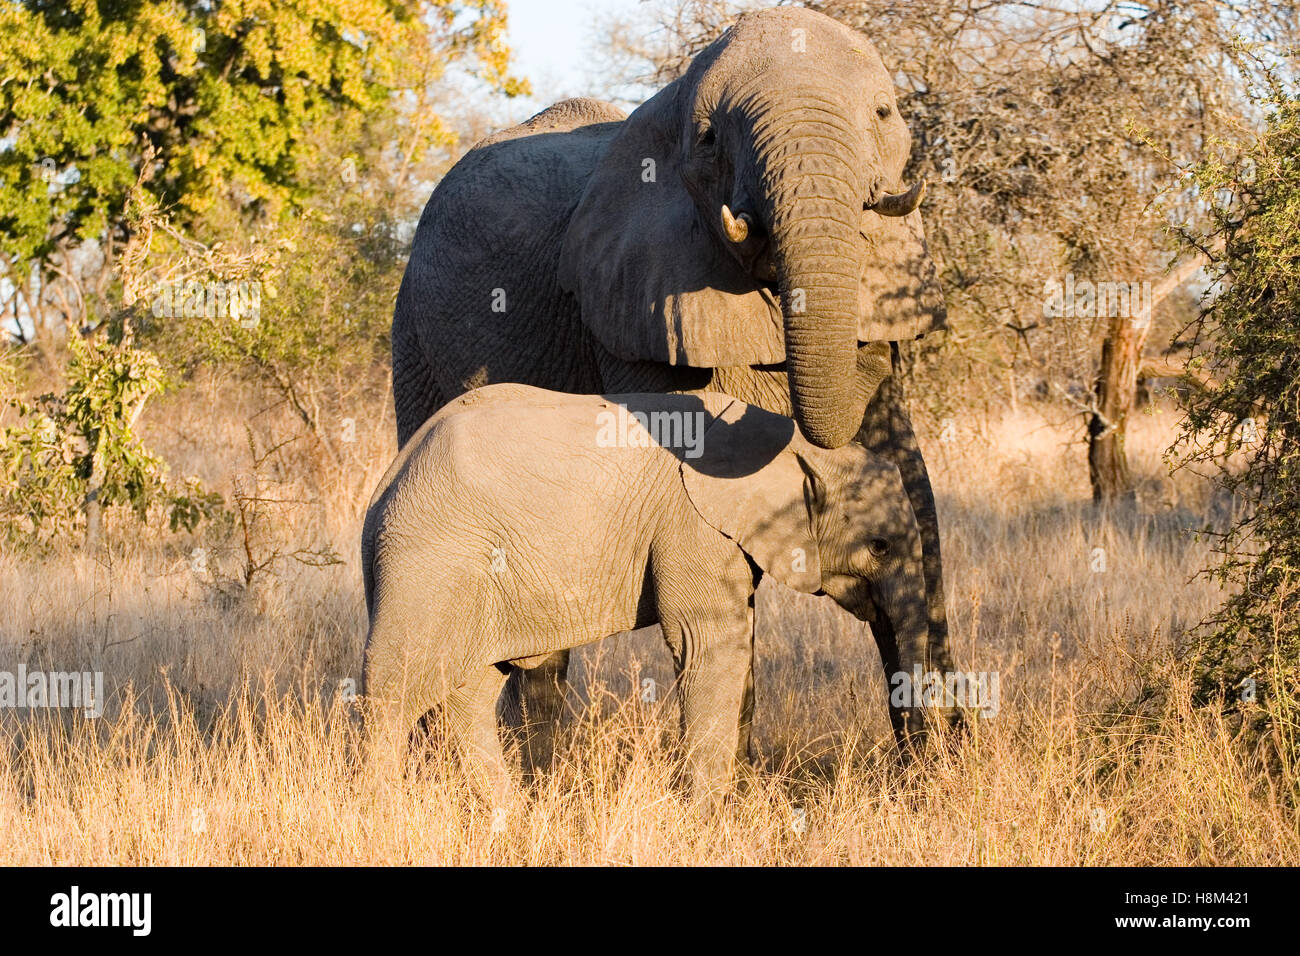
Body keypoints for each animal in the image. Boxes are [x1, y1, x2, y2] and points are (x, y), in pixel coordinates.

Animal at [361, 384, 929, 802]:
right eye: (879, 546)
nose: (913, 779)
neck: (793, 449)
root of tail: (388, 480)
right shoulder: (693, 525)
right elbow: (709, 646)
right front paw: (709, 818)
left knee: (467, 693)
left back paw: (507, 818)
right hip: (431, 559)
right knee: (394, 689)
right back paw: (384, 816)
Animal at [391, 6, 955, 771]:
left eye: (885, 113)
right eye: (711, 139)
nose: (865, 357)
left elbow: (910, 476)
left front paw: (941, 768)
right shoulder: (630, 302)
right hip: (412, 340)